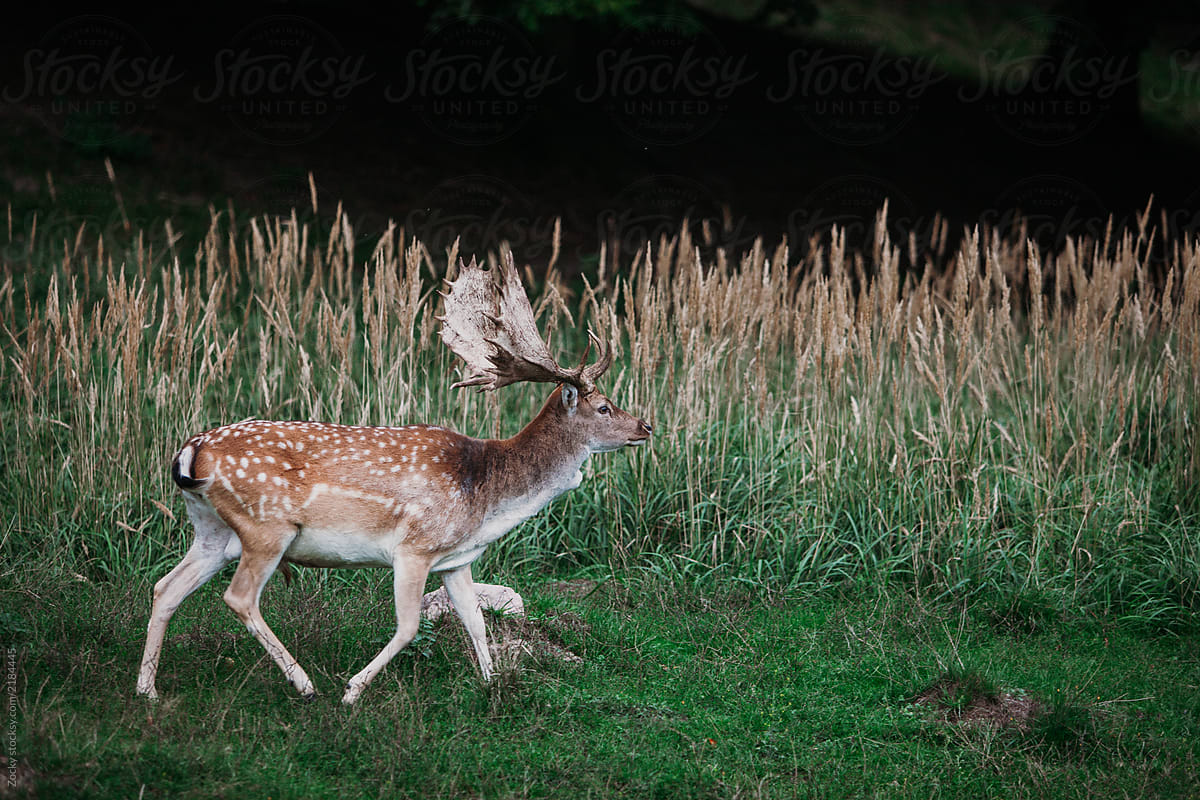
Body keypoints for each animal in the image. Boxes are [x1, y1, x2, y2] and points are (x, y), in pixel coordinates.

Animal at [135, 251, 652, 704]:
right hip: (267, 526)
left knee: (165, 587)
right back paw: (305, 684)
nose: (645, 427)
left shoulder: (455, 559)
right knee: (239, 597)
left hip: (213, 530)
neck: (487, 496)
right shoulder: (414, 547)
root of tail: (191, 451)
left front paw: (493, 685)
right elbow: (408, 627)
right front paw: (353, 690)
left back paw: (147, 690)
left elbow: (476, 621)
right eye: (604, 407)